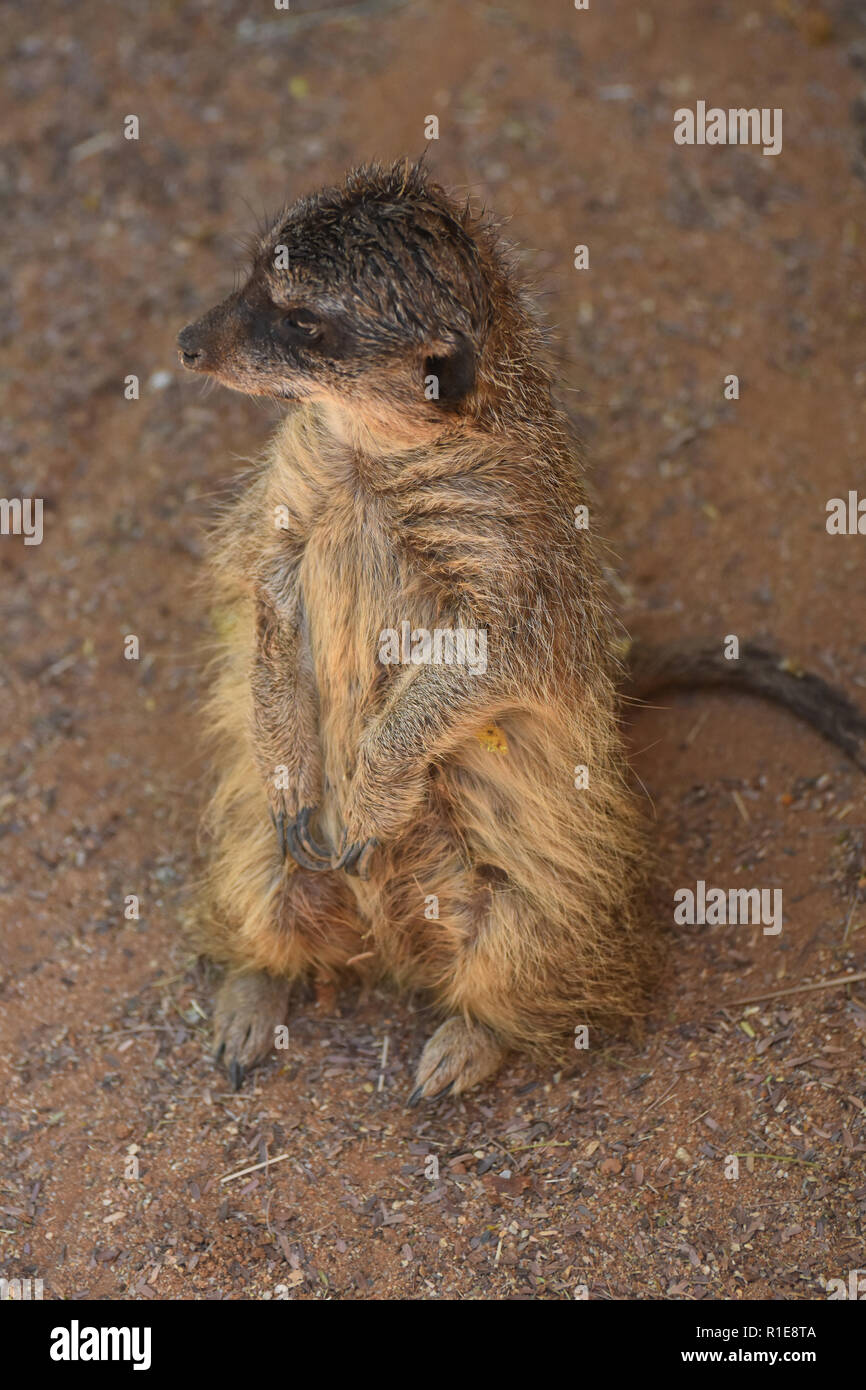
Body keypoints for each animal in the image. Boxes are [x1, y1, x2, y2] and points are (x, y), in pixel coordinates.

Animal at [177, 159, 866, 1101]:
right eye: (251, 277)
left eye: (304, 322)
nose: (188, 343)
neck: (371, 457)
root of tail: (392, 947)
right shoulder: (293, 491)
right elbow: (268, 594)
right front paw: (293, 762)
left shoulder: (509, 543)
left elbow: (497, 656)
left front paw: (371, 790)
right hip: (255, 839)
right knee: (265, 875)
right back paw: (255, 989)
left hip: (547, 884)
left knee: (538, 943)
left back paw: (467, 1041)